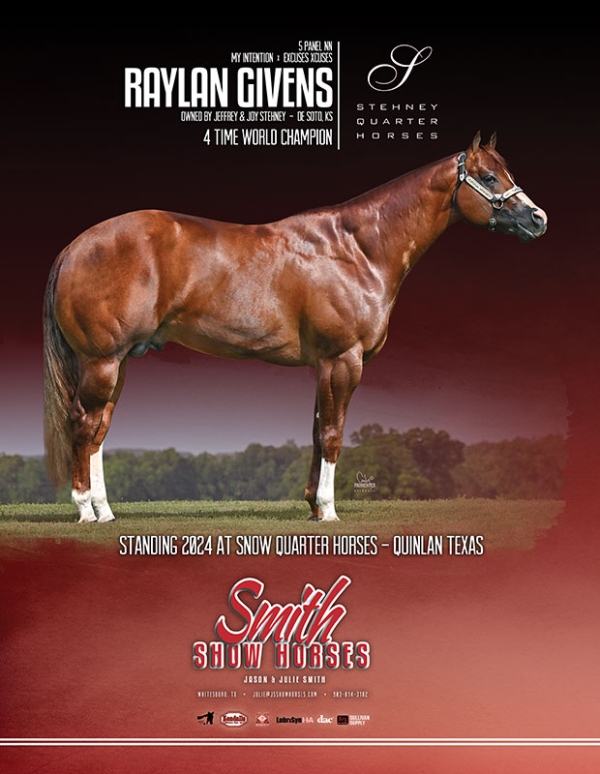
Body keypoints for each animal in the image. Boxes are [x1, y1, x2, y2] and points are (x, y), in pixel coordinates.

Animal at [43, 132, 547, 524]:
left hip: (119, 363)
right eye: (488, 177)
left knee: (99, 430)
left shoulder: (325, 364)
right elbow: (333, 435)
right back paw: (85, 510)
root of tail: (75, 246)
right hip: (101, 361)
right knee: (83, 425)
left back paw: (106, 512)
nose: (538, 219)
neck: (356, 250)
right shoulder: (344, 359)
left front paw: (314, 507)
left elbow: (318, 431)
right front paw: (331, 510)